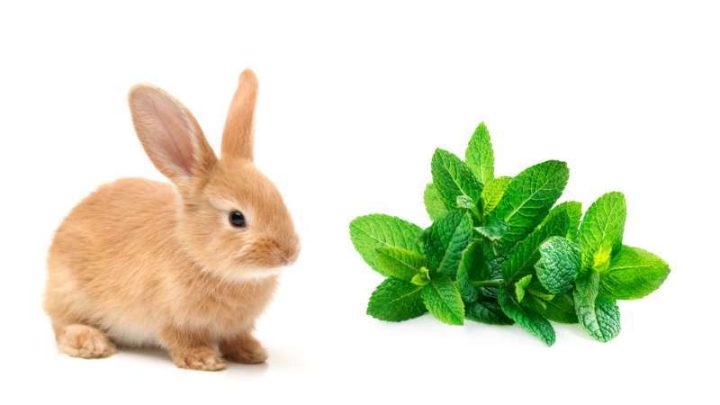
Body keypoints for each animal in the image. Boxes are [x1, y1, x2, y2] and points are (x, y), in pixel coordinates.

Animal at [43, 70, 299, 371]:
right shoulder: (171, 318)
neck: (196, 254)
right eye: (237, 218)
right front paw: (203, 359)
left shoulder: (236, 326)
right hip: (69, 293)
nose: (289, 254)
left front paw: (251, 352)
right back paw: (91, 342)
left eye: (278, 198)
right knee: (62, 324)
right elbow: (182, 339)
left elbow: (236, 337)